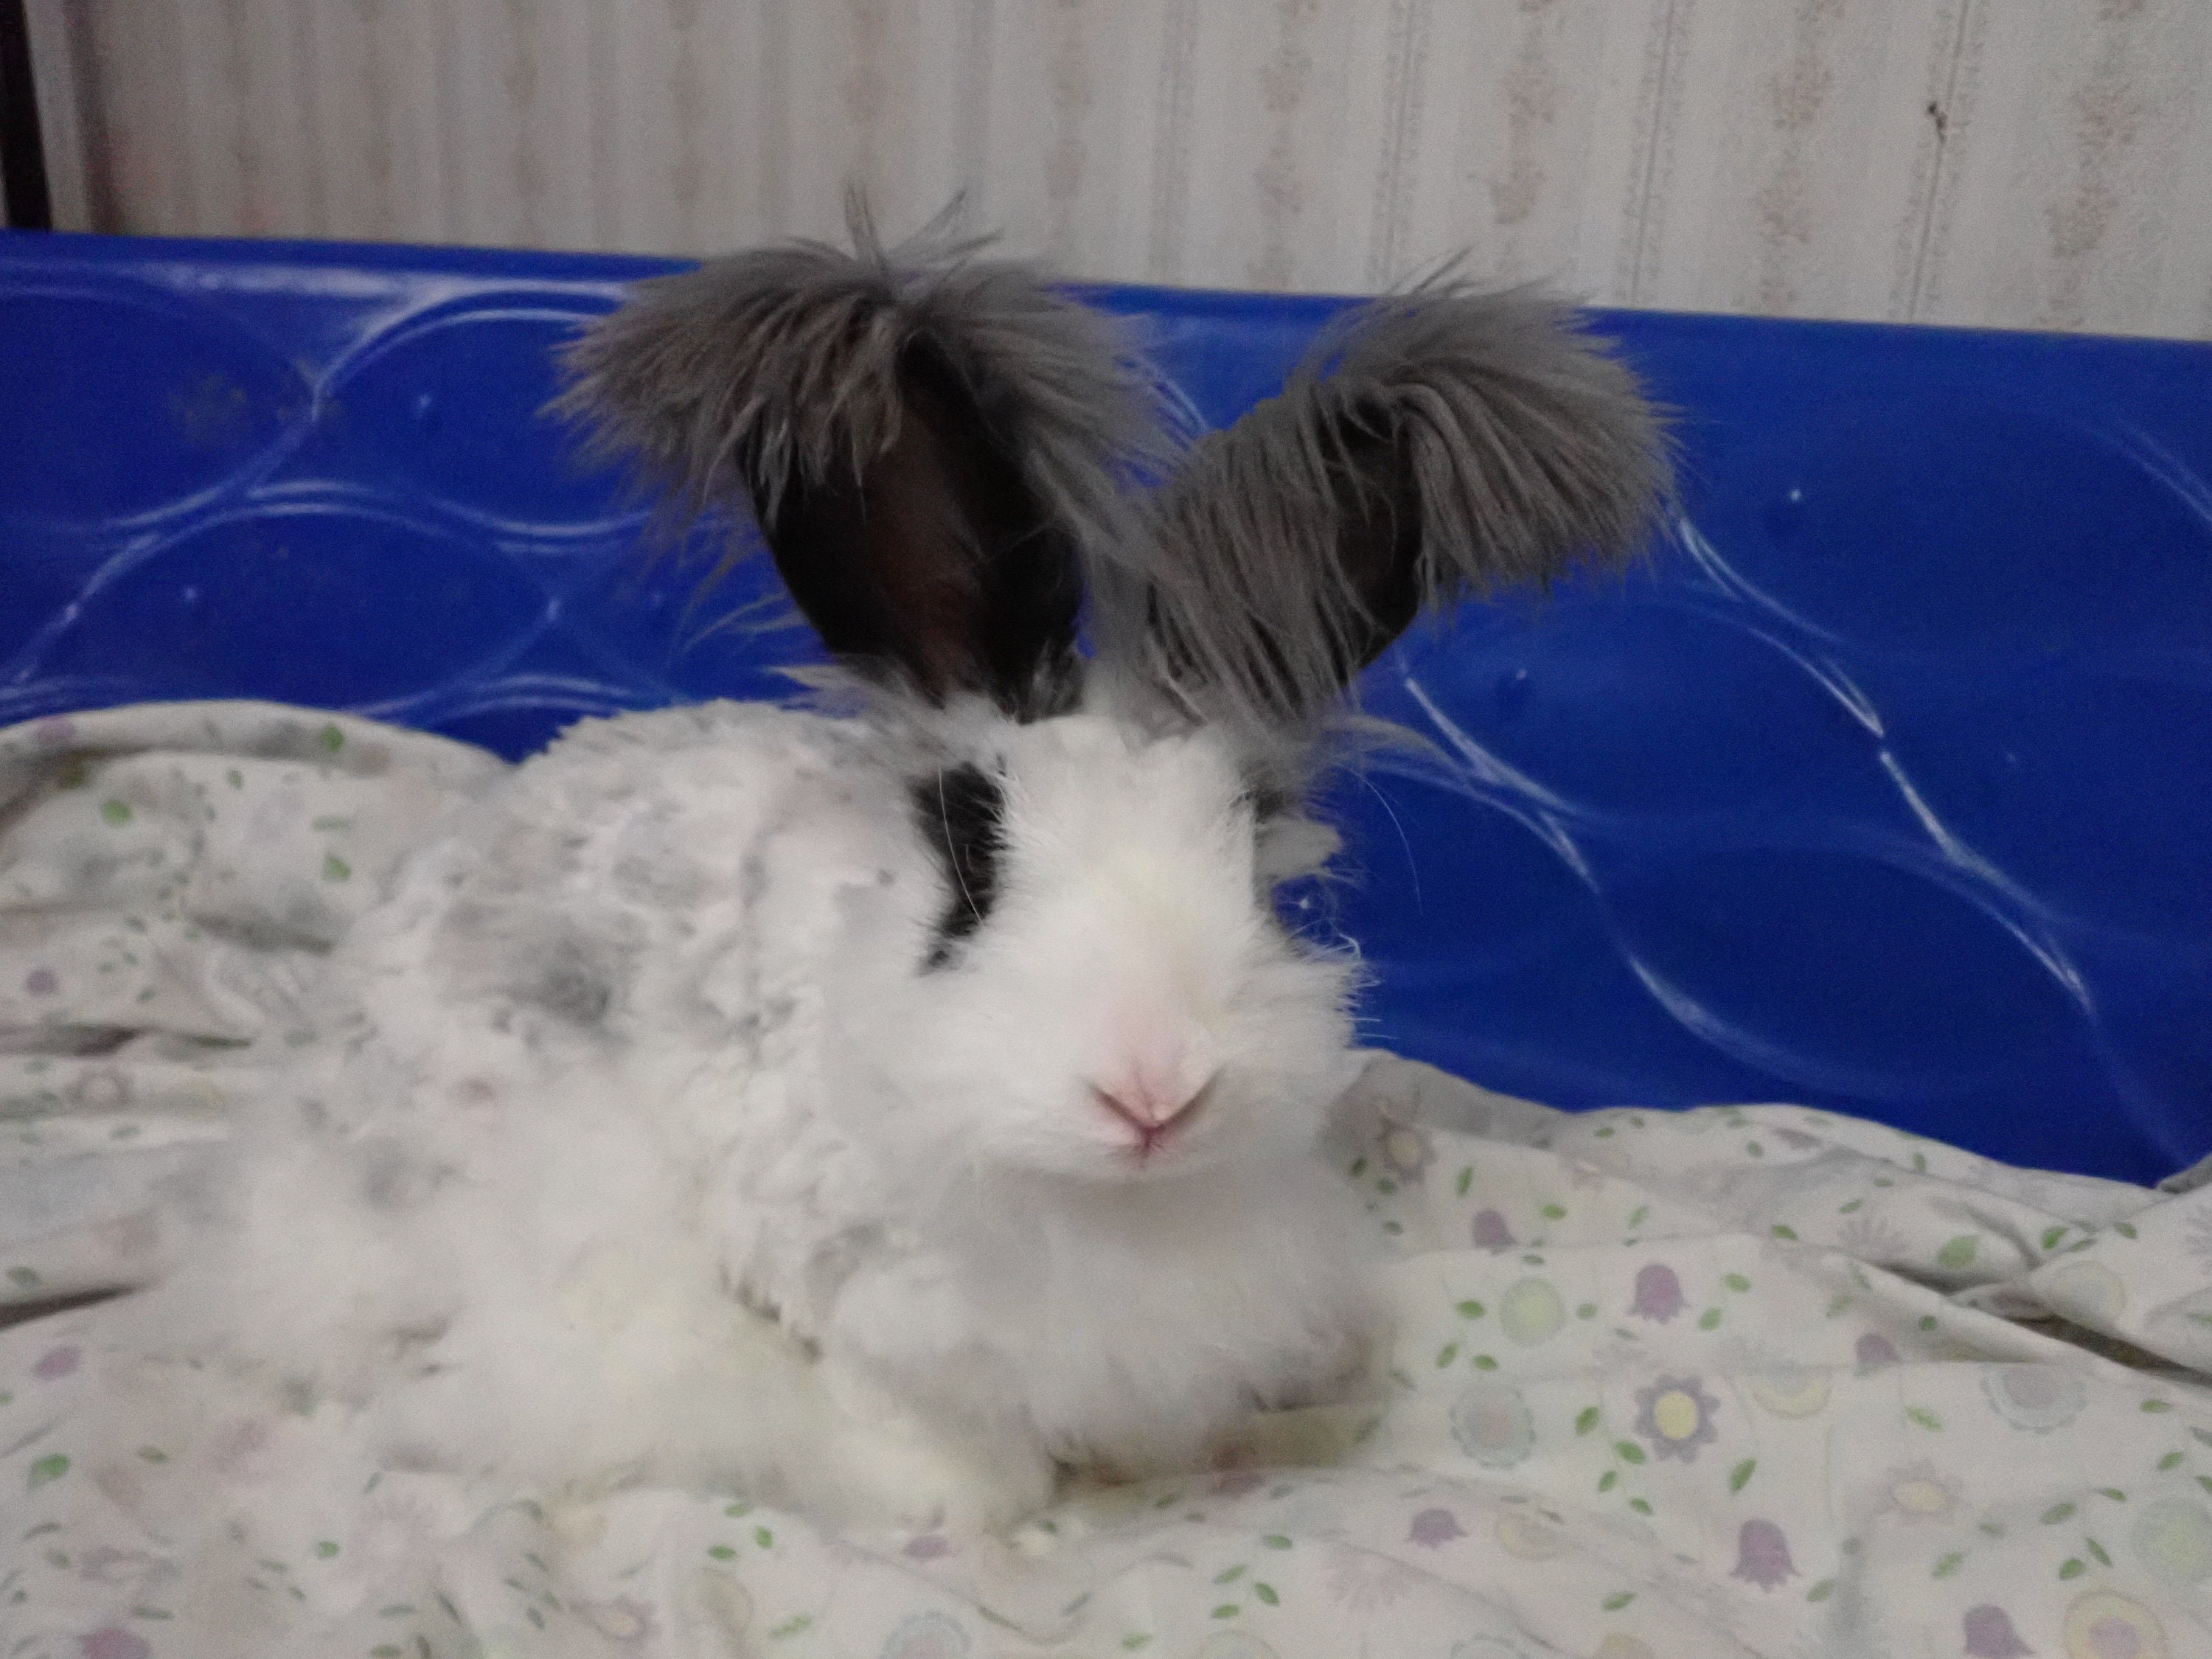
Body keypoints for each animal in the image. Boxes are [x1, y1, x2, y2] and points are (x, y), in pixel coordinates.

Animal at [119, 215, 1670, 1537]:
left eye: (1258, 866)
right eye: (970, 860)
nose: (1153, 1092)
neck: (1096, 1207)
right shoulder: (834, 1295)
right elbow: (933, 1432)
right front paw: (966, 1502)